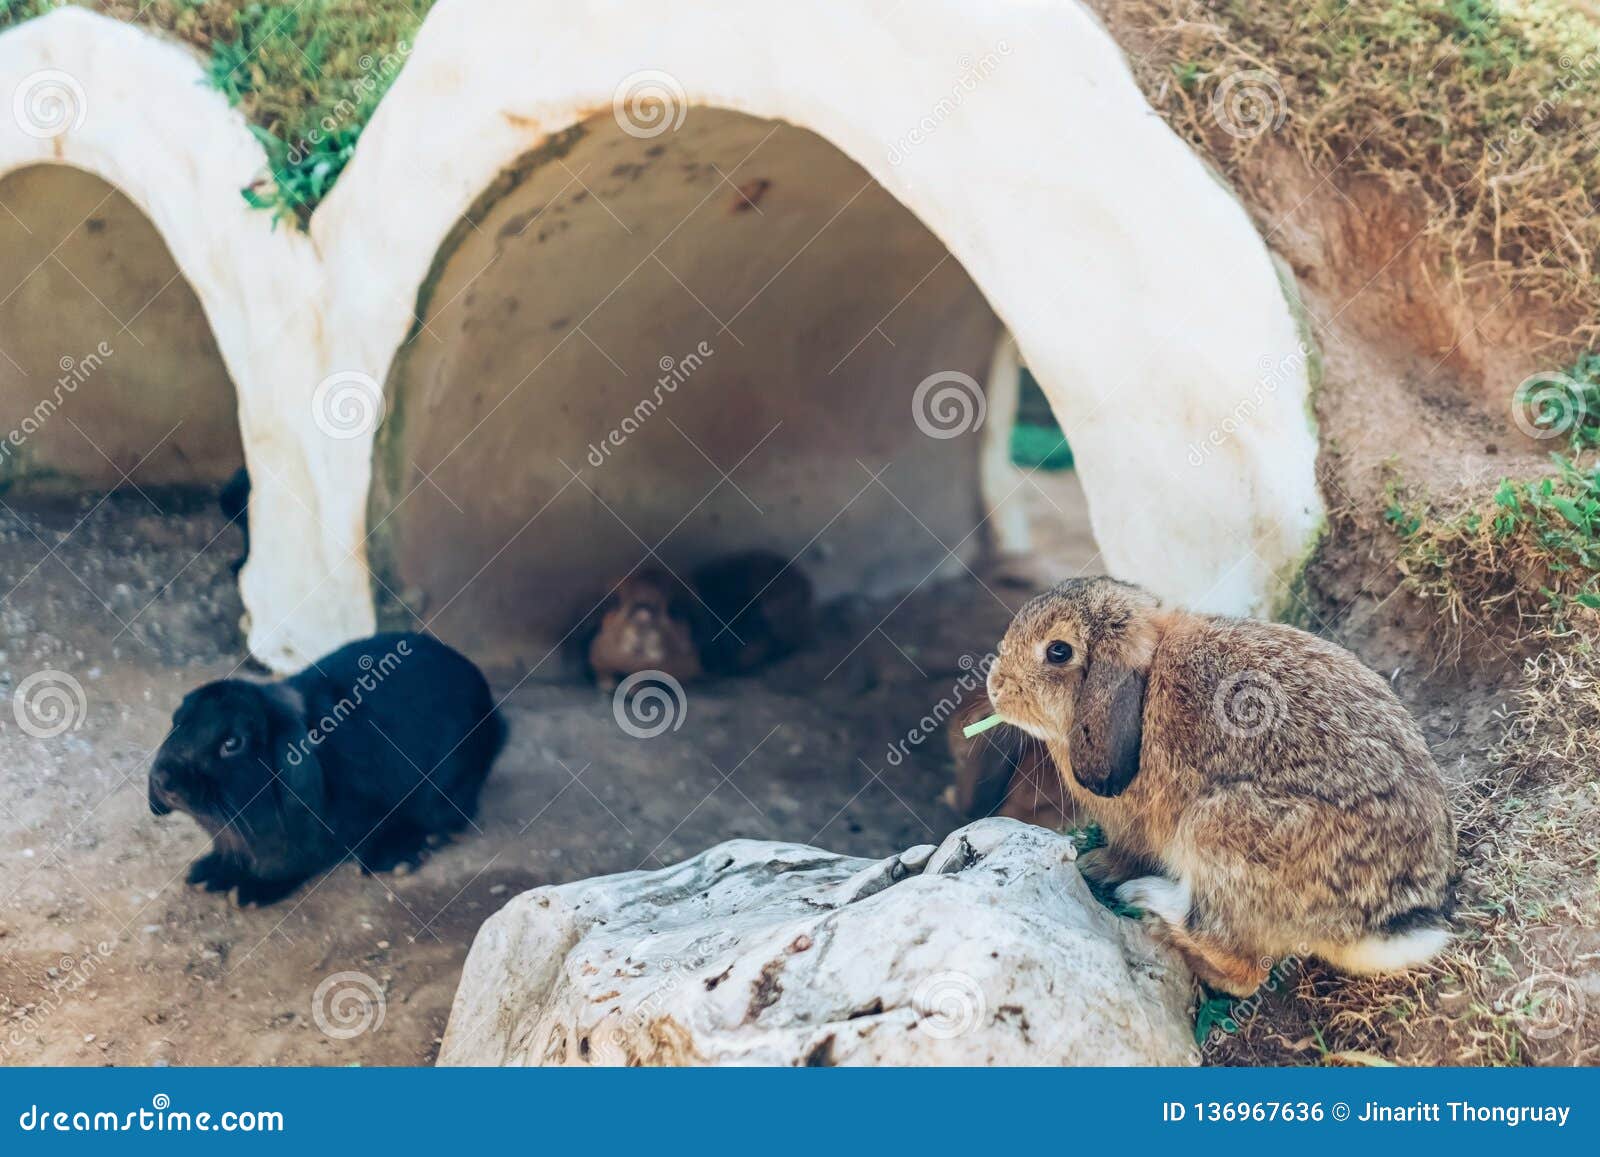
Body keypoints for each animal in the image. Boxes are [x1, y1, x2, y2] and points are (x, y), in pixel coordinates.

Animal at [149, 631, 505, 906]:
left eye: (233, 743)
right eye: (177, 722)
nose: (164, 780)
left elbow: (290, 862)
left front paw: (253, 892)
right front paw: (208, 874)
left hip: (443, 790)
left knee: (449, 820)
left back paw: (394, 856)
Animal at [984, 576, 1456, 996]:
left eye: (1057, 651)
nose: (995, 687)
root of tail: (1375, 925)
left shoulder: (1136, 829)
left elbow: (1127, 854)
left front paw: (1095, 866)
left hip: (1217, 829)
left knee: (1242, 970)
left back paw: (1157, 917)